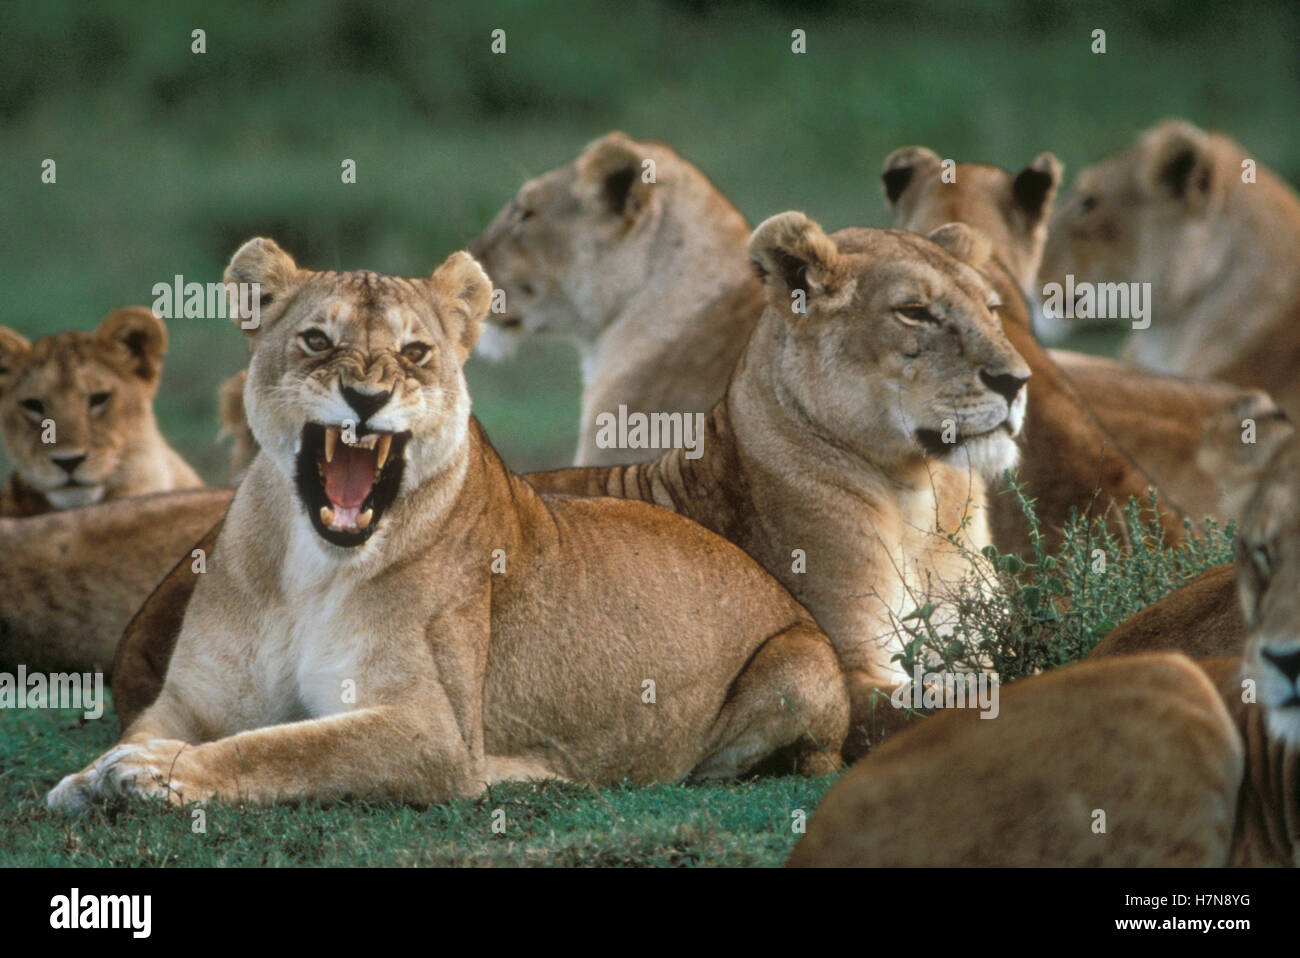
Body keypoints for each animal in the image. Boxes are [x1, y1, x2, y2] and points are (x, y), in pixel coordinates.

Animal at [48, 239, 849, 811]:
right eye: (316, 340)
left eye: (414, 352)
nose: (365, 397)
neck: (308, 565)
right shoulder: (192, 699)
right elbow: (150, 733)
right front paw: (91, 777)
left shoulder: (433, 731)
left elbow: (283, 750)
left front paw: (151, 773)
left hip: (801, 667)